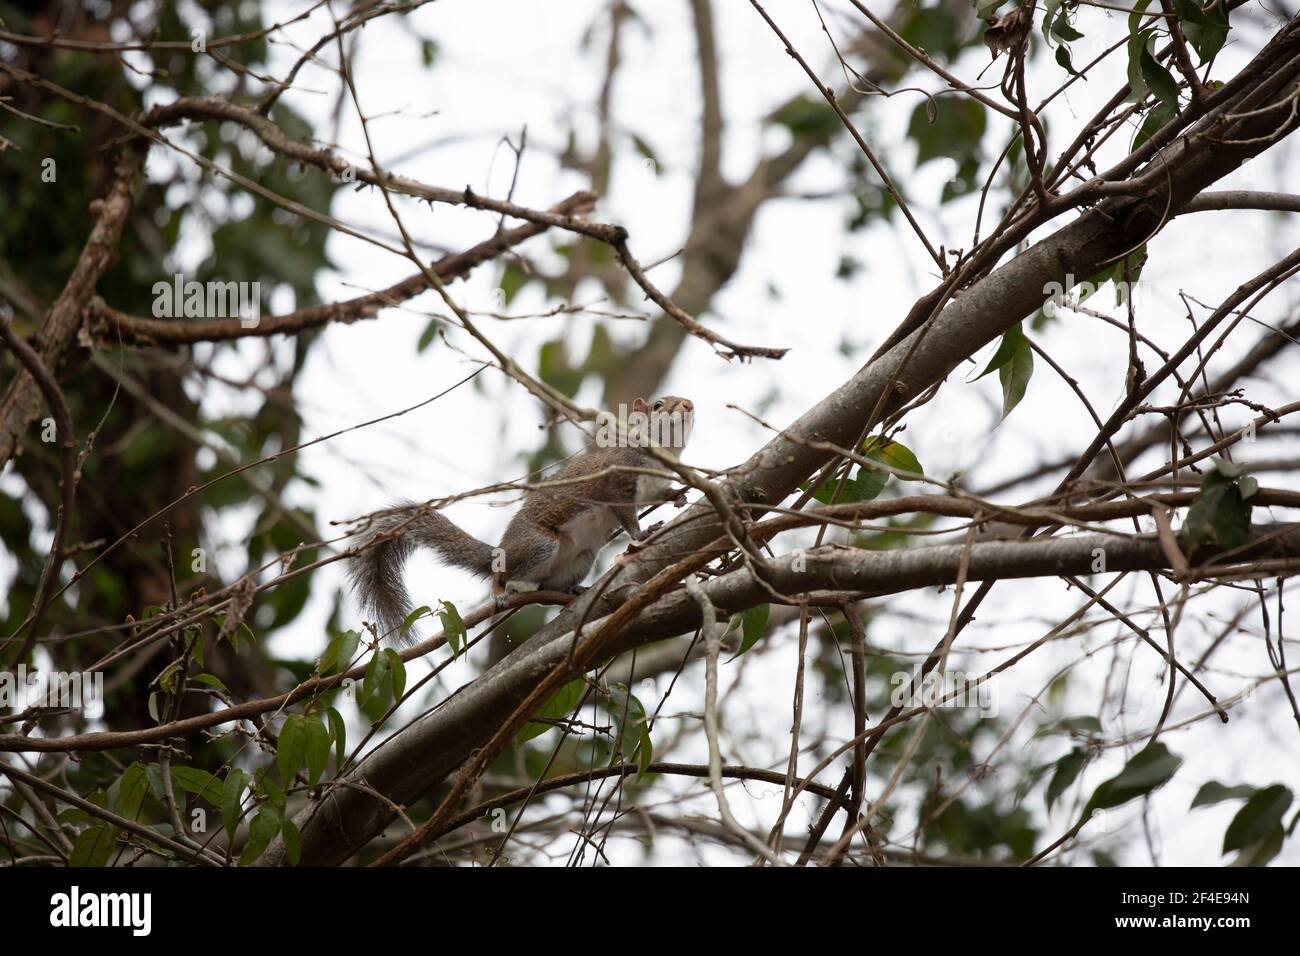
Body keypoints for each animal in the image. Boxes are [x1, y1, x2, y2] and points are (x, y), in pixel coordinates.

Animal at [348, 395, 694, 641]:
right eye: (659, 405)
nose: (689, 405)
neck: (661, 457)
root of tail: (500, 552)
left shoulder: (649, 488)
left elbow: (657, 497)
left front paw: (677, 498)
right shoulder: (616, 481)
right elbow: (626, 515)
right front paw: (642, 533)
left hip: (581, 558)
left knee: (545, 587)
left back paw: (571, 592)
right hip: (538, 545)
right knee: (501, 577)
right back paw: (503, 592)